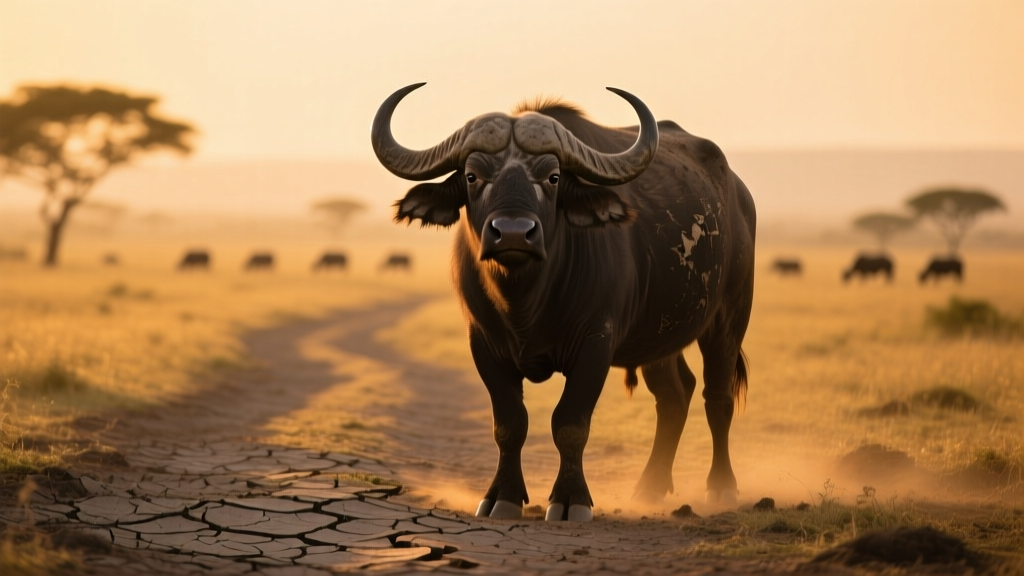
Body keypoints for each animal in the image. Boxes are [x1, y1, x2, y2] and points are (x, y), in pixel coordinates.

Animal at [372, 84, 756, 522]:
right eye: (472, 176)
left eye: (552, 177)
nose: (513, 233)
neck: (525, 301)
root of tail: (740, 195)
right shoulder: (483, 345)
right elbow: (509, 424)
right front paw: (502, 496)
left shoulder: (595, 344)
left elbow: (570, 423)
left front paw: (571, 500)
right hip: (658, 337)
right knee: (675, 394)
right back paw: (650, 487)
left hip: (729, 318)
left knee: (717, 396)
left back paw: (721, 487)